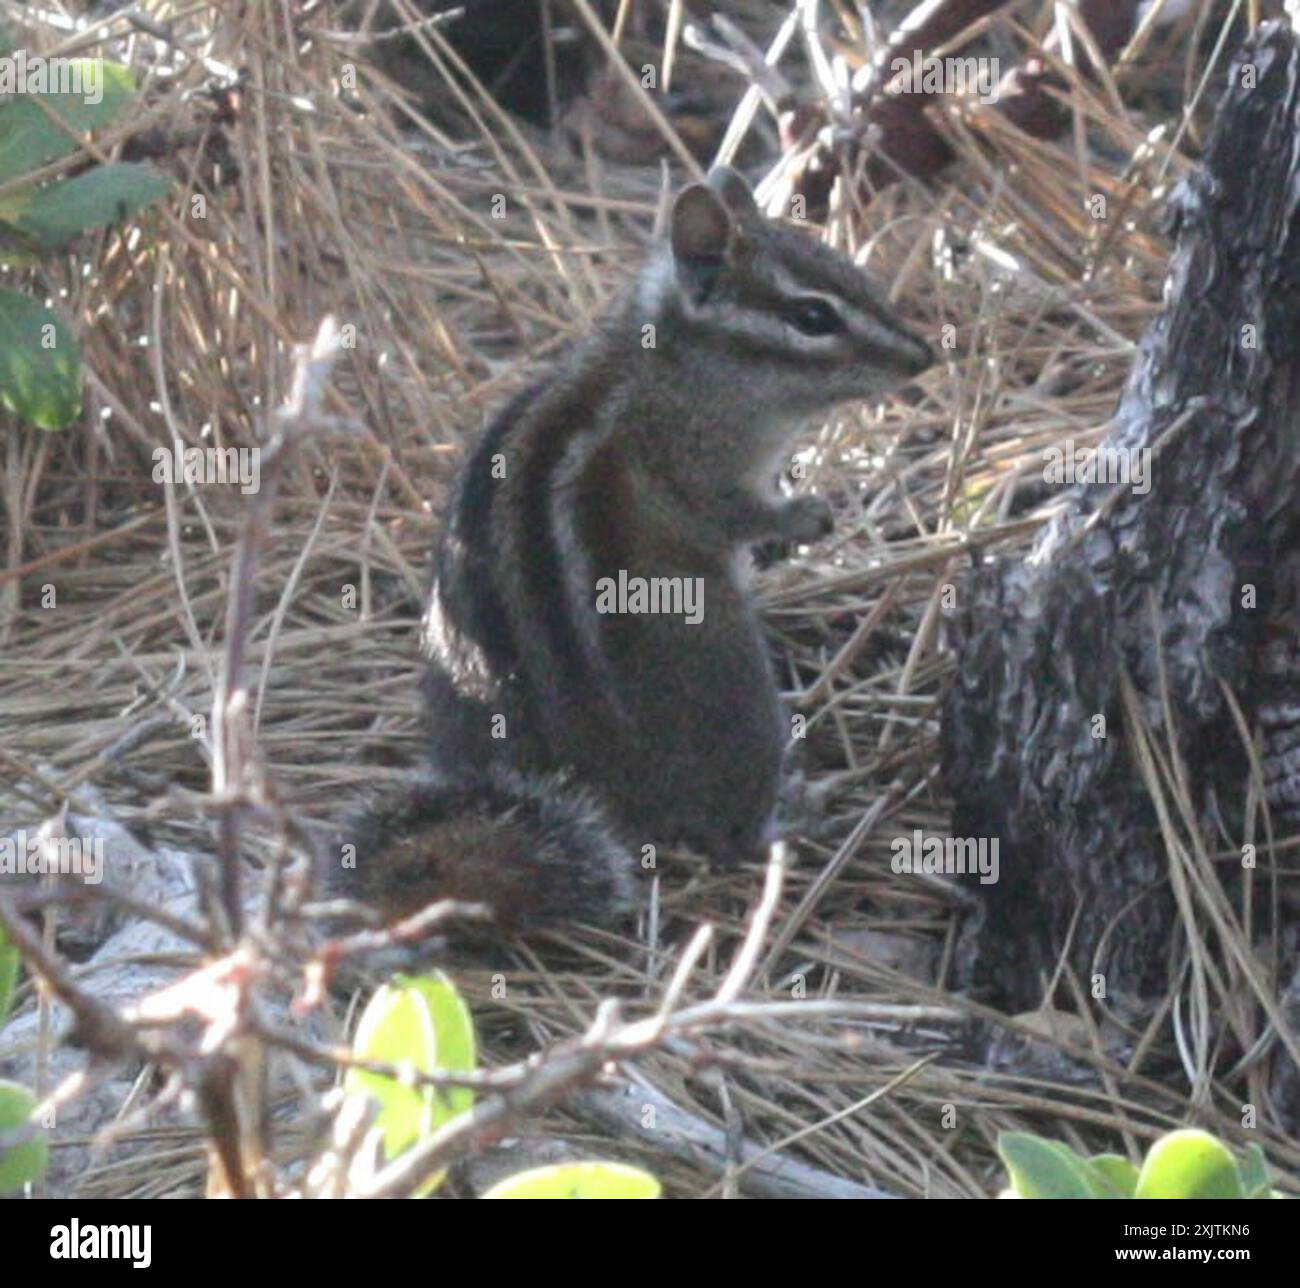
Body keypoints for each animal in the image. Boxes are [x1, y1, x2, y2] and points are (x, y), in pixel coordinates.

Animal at [329, 167, 932, 933]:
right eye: (813, 317)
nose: (924, 355)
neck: (673, 365)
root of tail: (580, 781)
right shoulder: (694, 471)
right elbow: (735, 516)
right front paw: (806, 515)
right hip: (733, 683)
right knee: (728, 829)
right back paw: (796, 815)